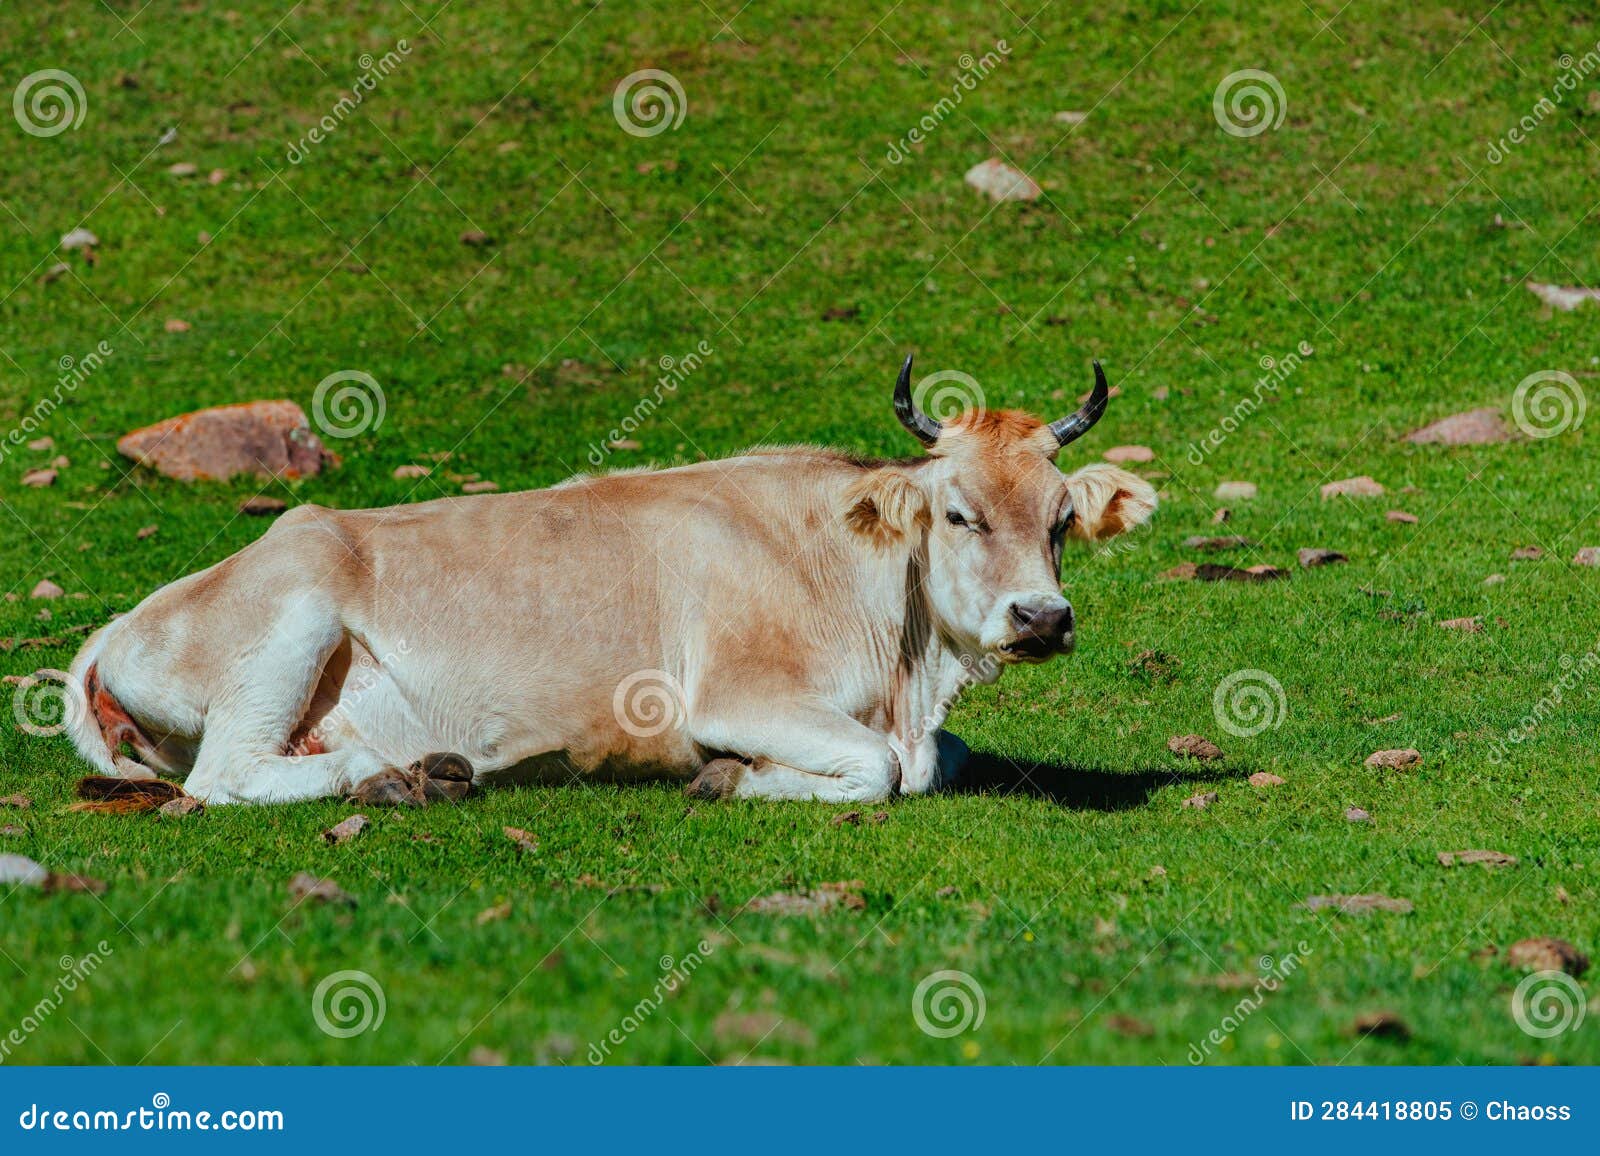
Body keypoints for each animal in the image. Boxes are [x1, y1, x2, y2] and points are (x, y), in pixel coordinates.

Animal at [64, 356, 1155, 806]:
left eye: (1062, 521)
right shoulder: (738, 695)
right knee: (227, 777)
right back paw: (404, 768)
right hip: (293, 613)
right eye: (959, 512)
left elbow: (942, 760)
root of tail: (125, 622)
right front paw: (732, 777)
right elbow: (884, 770)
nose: (1042, 617)